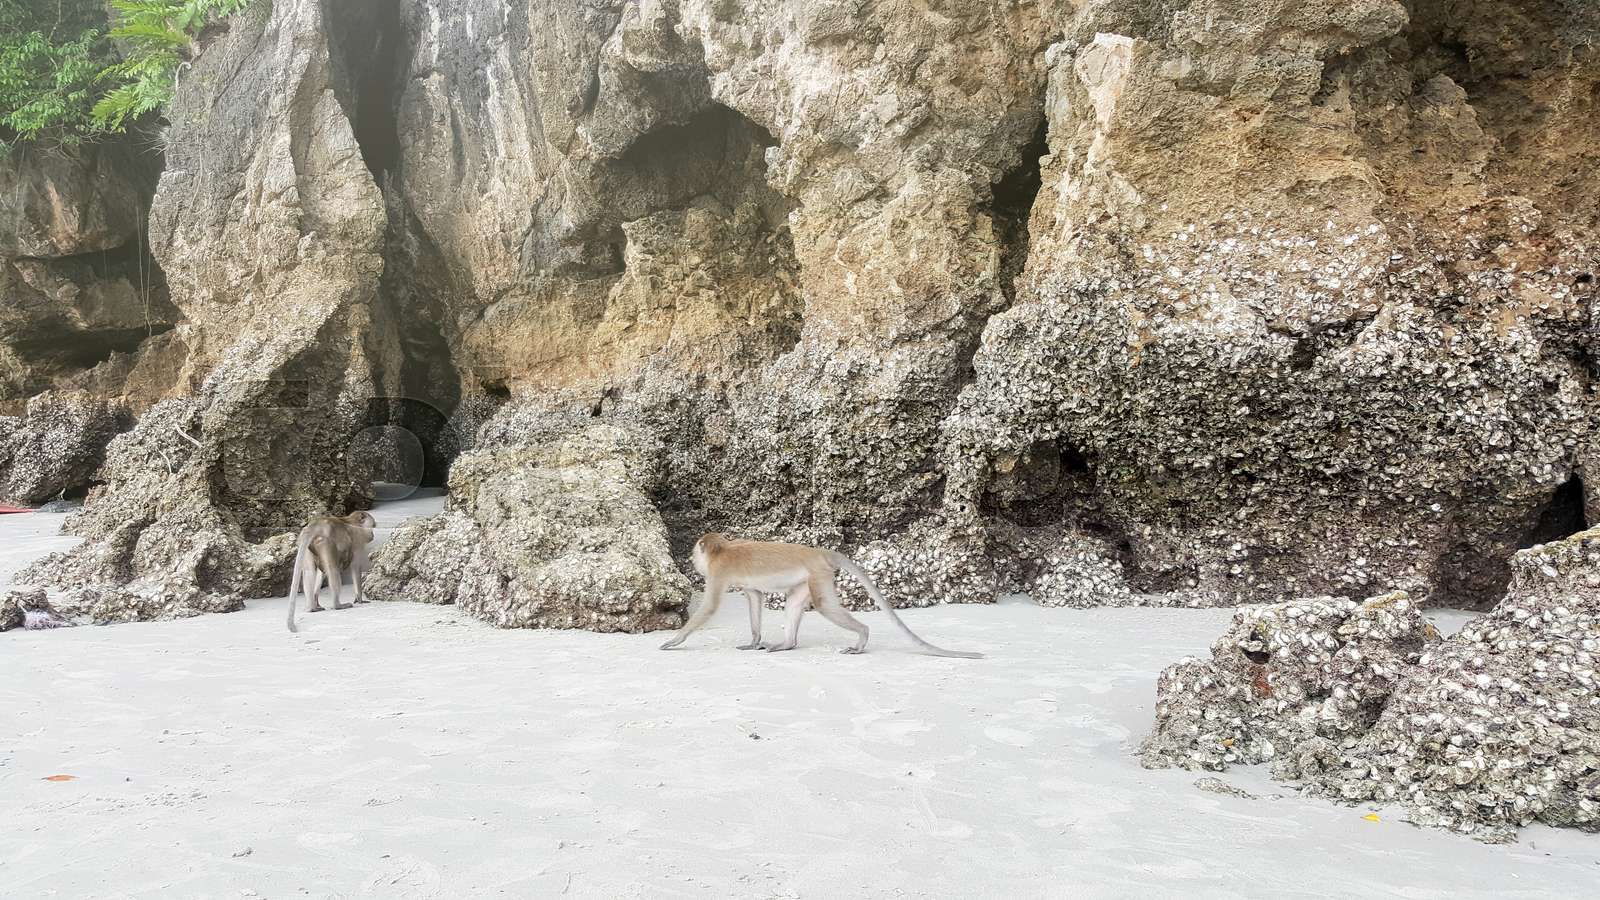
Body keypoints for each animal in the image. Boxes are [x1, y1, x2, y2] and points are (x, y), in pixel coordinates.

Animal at [659, 533, 982, 658]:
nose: (692, 559)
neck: (722, 550)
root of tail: (818, 552)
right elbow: (755, 598)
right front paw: (754, 642)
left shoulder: (718, 573)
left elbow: (710, 606)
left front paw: (676, 640)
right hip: (808, 579)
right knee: (795, 602)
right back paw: (787, 644)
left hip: (818, 574)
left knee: (826, 605)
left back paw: (862, 637)